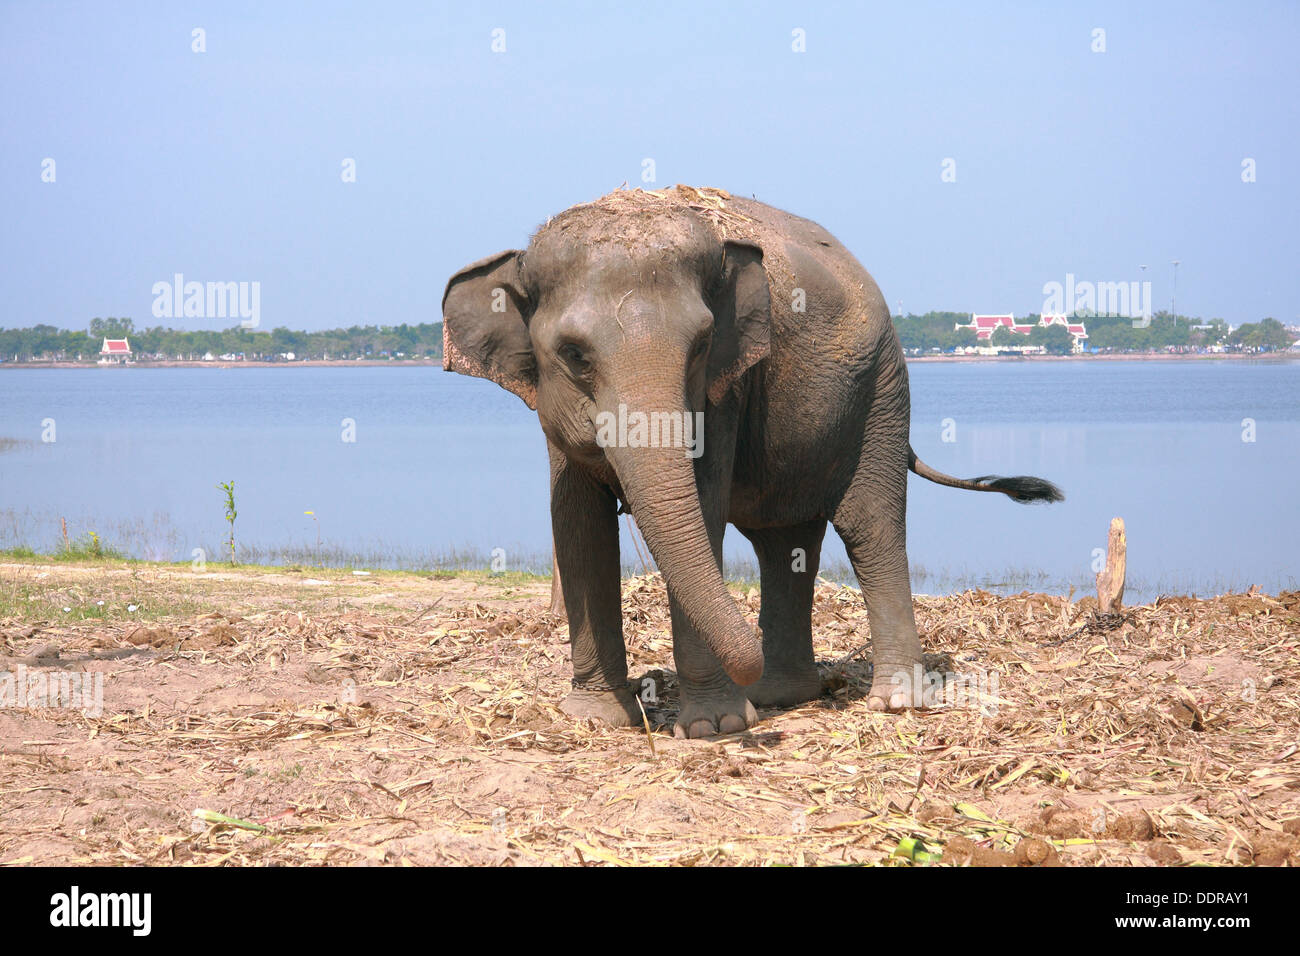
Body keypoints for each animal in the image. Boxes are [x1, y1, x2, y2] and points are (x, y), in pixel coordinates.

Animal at [442, 185, 1062, 738]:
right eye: (573, 355)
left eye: (700, 346)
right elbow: (577, 523)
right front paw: (594, 719)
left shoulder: (726, 390)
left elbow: (703, 507)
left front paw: (714, 726)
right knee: (784, 542)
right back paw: (780, 696)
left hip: (883, 394)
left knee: (870, 528)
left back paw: (894, 703)